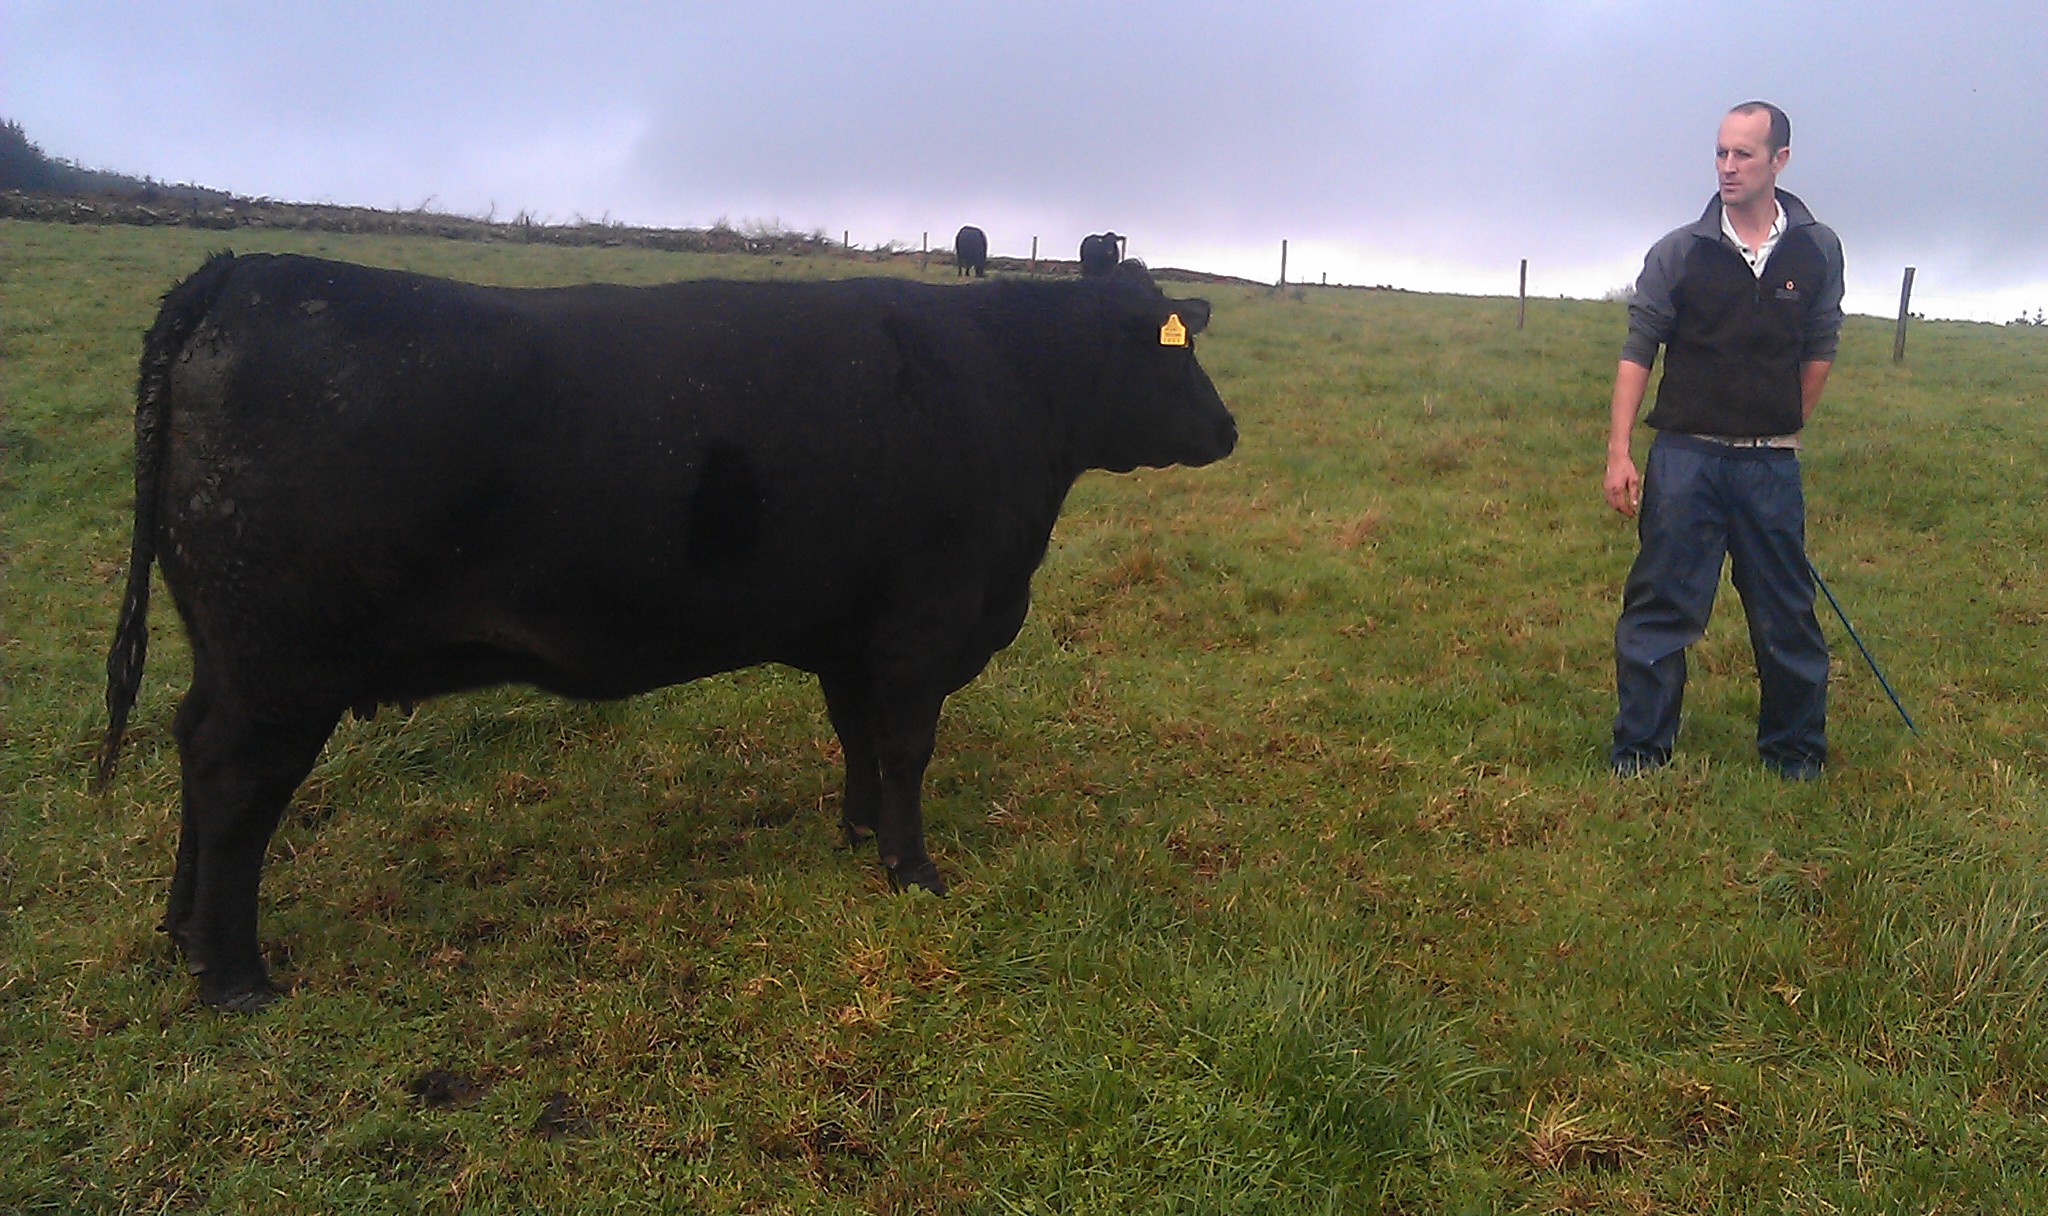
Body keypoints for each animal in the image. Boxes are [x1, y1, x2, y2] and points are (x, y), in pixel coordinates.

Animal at [97, 252, 1237, 1011]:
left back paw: (181, 930)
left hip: (234, 659)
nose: (1227, 430)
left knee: (193, 752)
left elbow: (857, 737)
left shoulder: (849, 630)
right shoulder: (922, 621)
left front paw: (857, 830)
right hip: (282, 666)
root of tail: (245, 271)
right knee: (237, 783)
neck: (1006, 382)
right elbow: (906, 746)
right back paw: (234, 975)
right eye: (1173, 355)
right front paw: (912, 869)